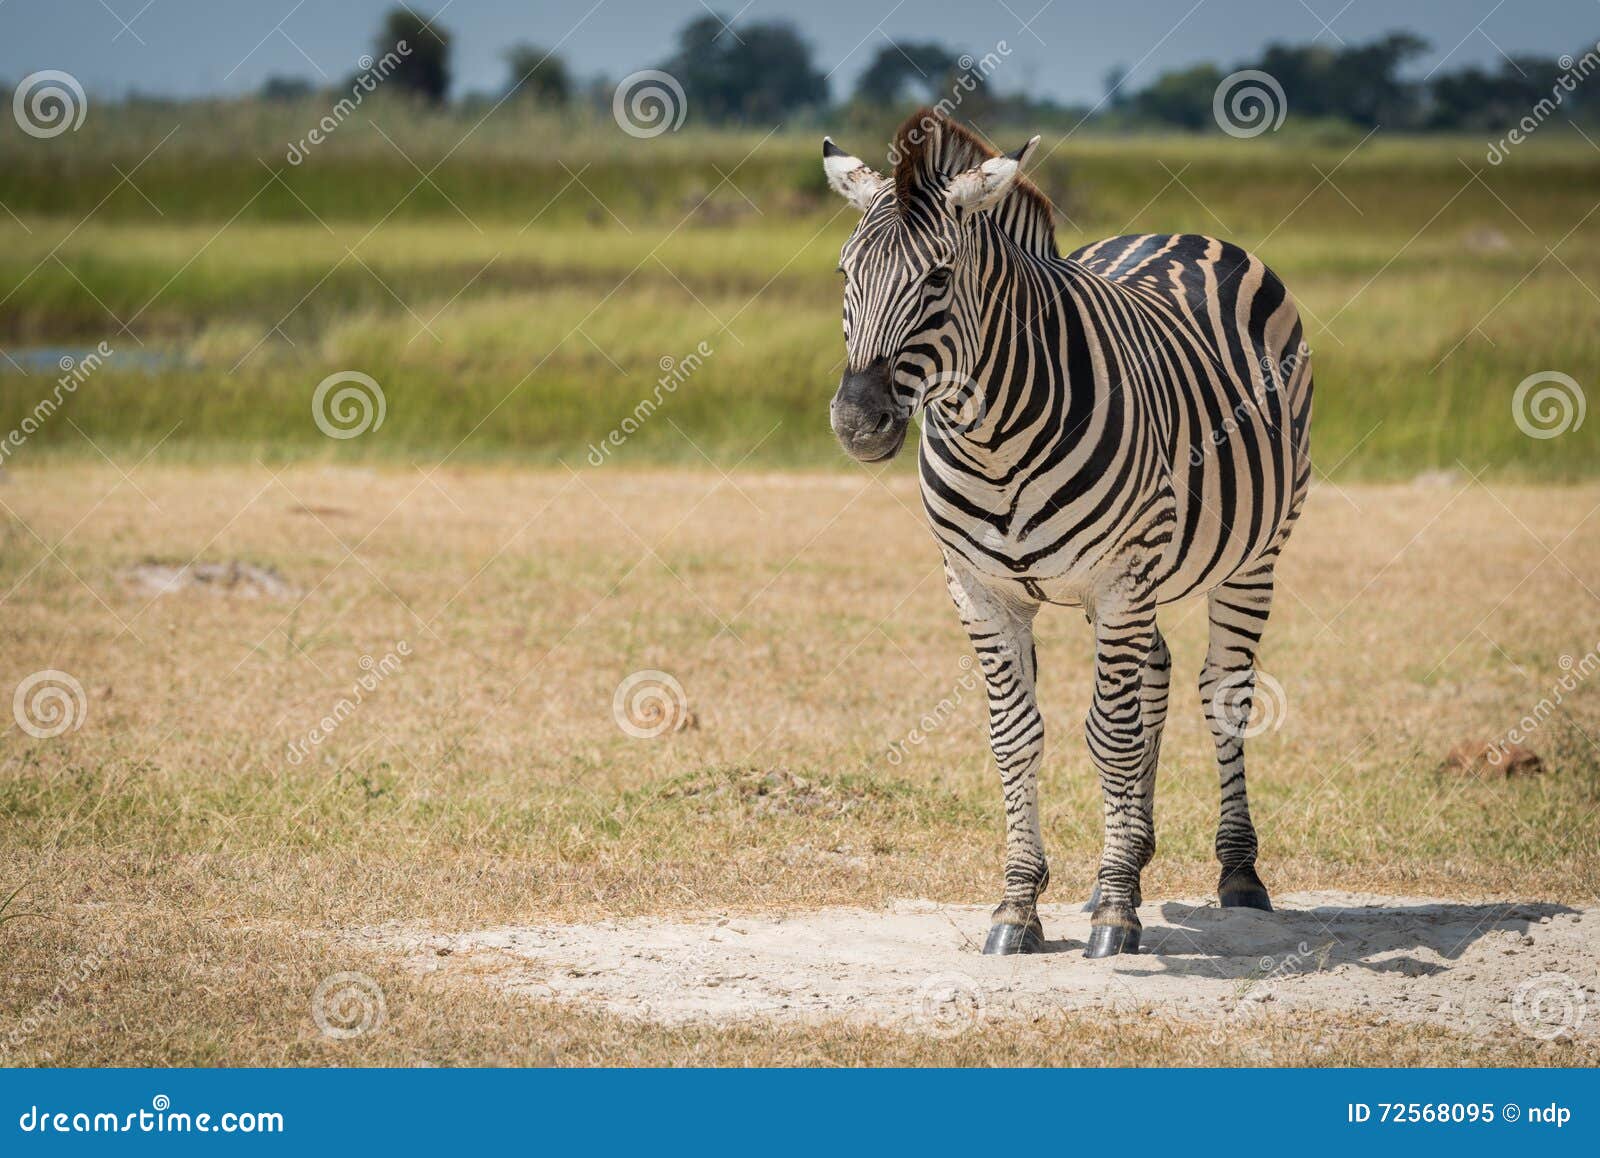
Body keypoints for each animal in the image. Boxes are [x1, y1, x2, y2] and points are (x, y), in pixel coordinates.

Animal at [822, 109, 1313, 958]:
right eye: (847, 276)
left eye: (939, 278)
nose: (858, 423)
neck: (993, 443)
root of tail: (1180, 233)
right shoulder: (980, 590)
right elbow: (1016, 736)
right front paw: (1021, 903)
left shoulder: (1119, 577)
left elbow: (1110, 733)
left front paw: (1117, 914)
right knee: (1156, 678)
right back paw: (1130, 860)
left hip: (1248, 555)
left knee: (1222, 691)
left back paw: (1237, 874)